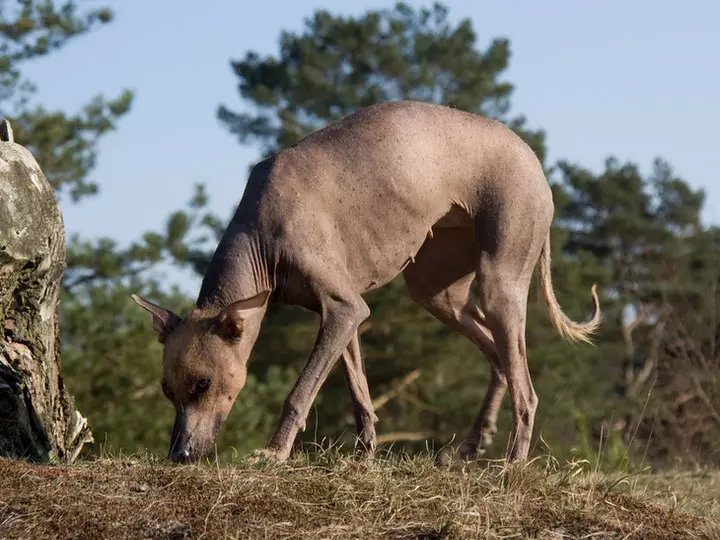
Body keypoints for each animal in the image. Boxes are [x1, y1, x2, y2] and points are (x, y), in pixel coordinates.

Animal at [132, 99, 600, 462]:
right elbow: (358, 390)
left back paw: (513, 463)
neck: (259, 233)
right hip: (437, 291)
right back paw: (474, 442)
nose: (179, 455)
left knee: (526, 389)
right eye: (166, 390)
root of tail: (533, 159)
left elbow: (299, 393)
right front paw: (365, 452)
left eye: (203, 384)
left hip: (501, 280)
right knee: (500, 359)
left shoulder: (343, 308)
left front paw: (275, 453)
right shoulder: (344, 314)